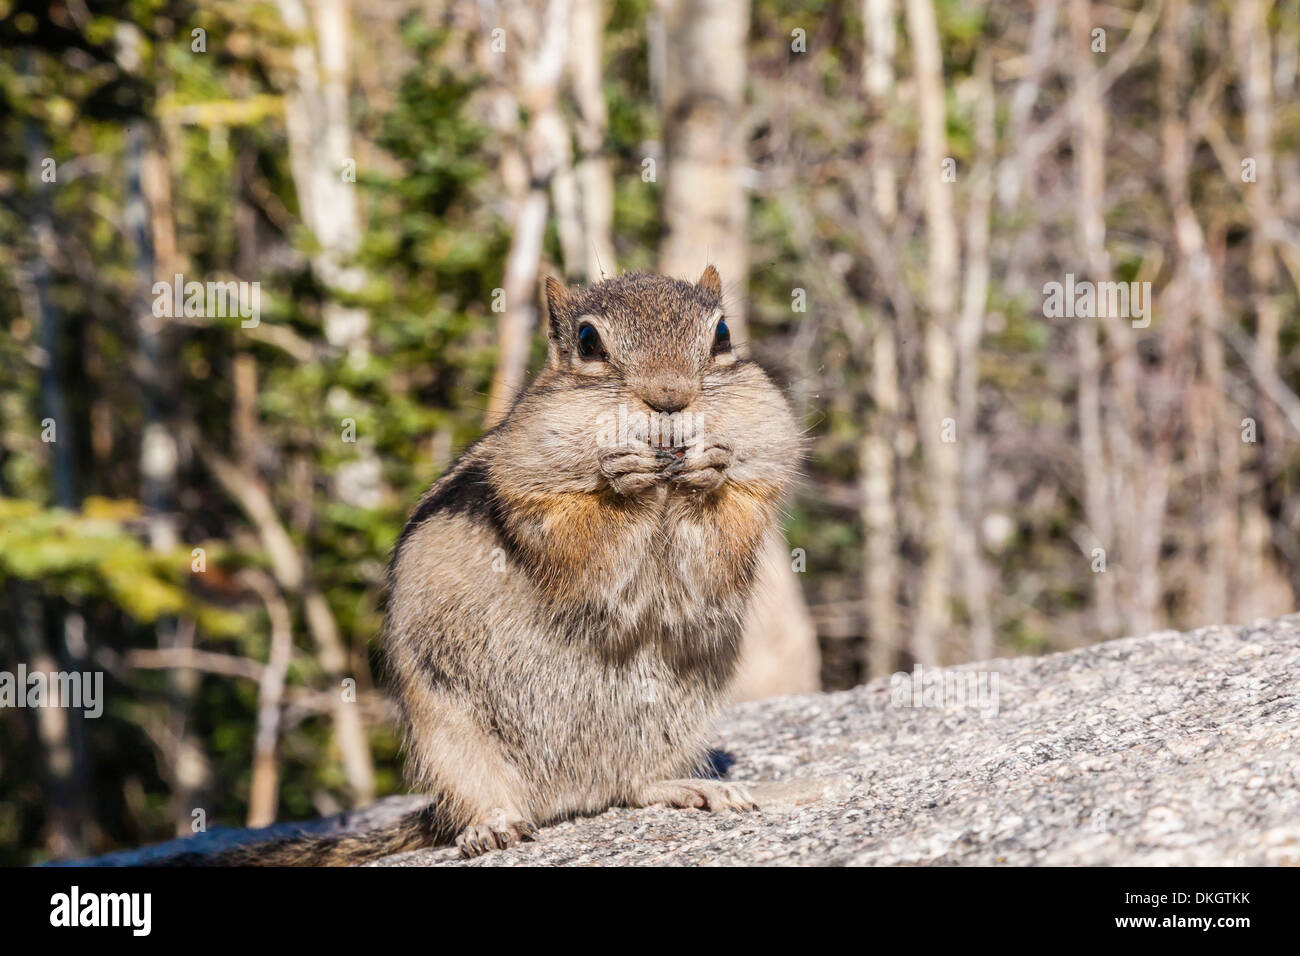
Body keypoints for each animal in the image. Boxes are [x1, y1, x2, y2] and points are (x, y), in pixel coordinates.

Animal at [212, 266, 802, 864]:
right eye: (588, 342)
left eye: (722, 335)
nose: (670, 398)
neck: (663, 490)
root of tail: (572, 796)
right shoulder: (532, 494)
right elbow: (579, 535)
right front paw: (621, 476)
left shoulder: (759, 484)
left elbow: (731, 522)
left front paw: (709, 468)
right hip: (447, 734)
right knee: (481, 798)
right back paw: (492, 826)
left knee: (634, 785)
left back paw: (695, 787)